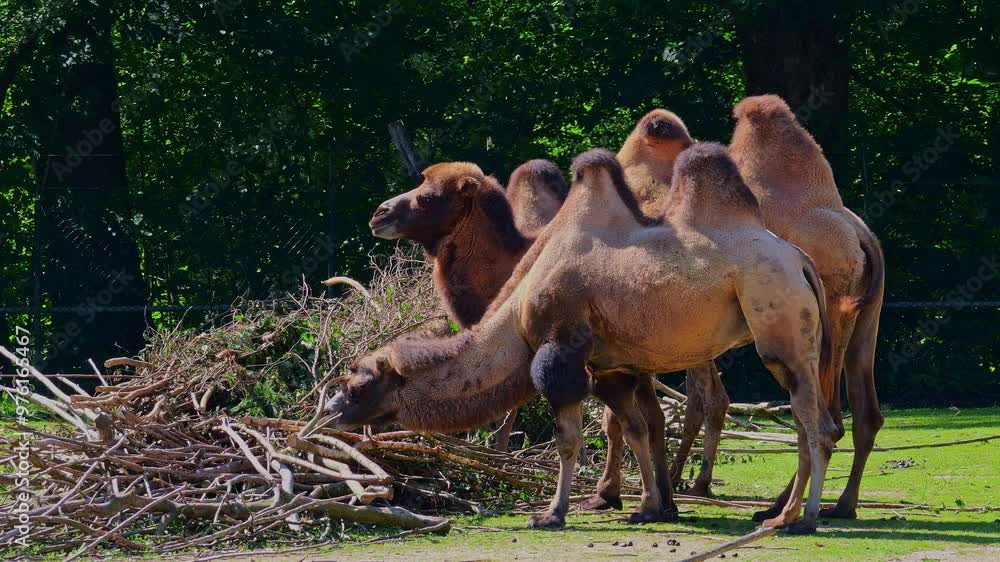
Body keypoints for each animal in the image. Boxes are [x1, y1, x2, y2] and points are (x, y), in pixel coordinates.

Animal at [327, 144, 839, 533]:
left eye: (358, 386)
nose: (330, 410)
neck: (519, 304)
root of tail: (801, 261)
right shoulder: (610, 364)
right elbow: (634, 428)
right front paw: (649, 507)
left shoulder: (560, 353)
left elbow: (569, 439)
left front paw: (552, 514)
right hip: (799, 339)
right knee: (812, 419)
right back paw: (784, 512)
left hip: (776, 319)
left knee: (810, 421)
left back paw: (799, 518)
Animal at [729, 94, 885, 521]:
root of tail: (862, 238)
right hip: (866, 318)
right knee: (861, 413)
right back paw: (840, 505)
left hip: (827, 316)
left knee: (823, 416)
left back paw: (789, 509)